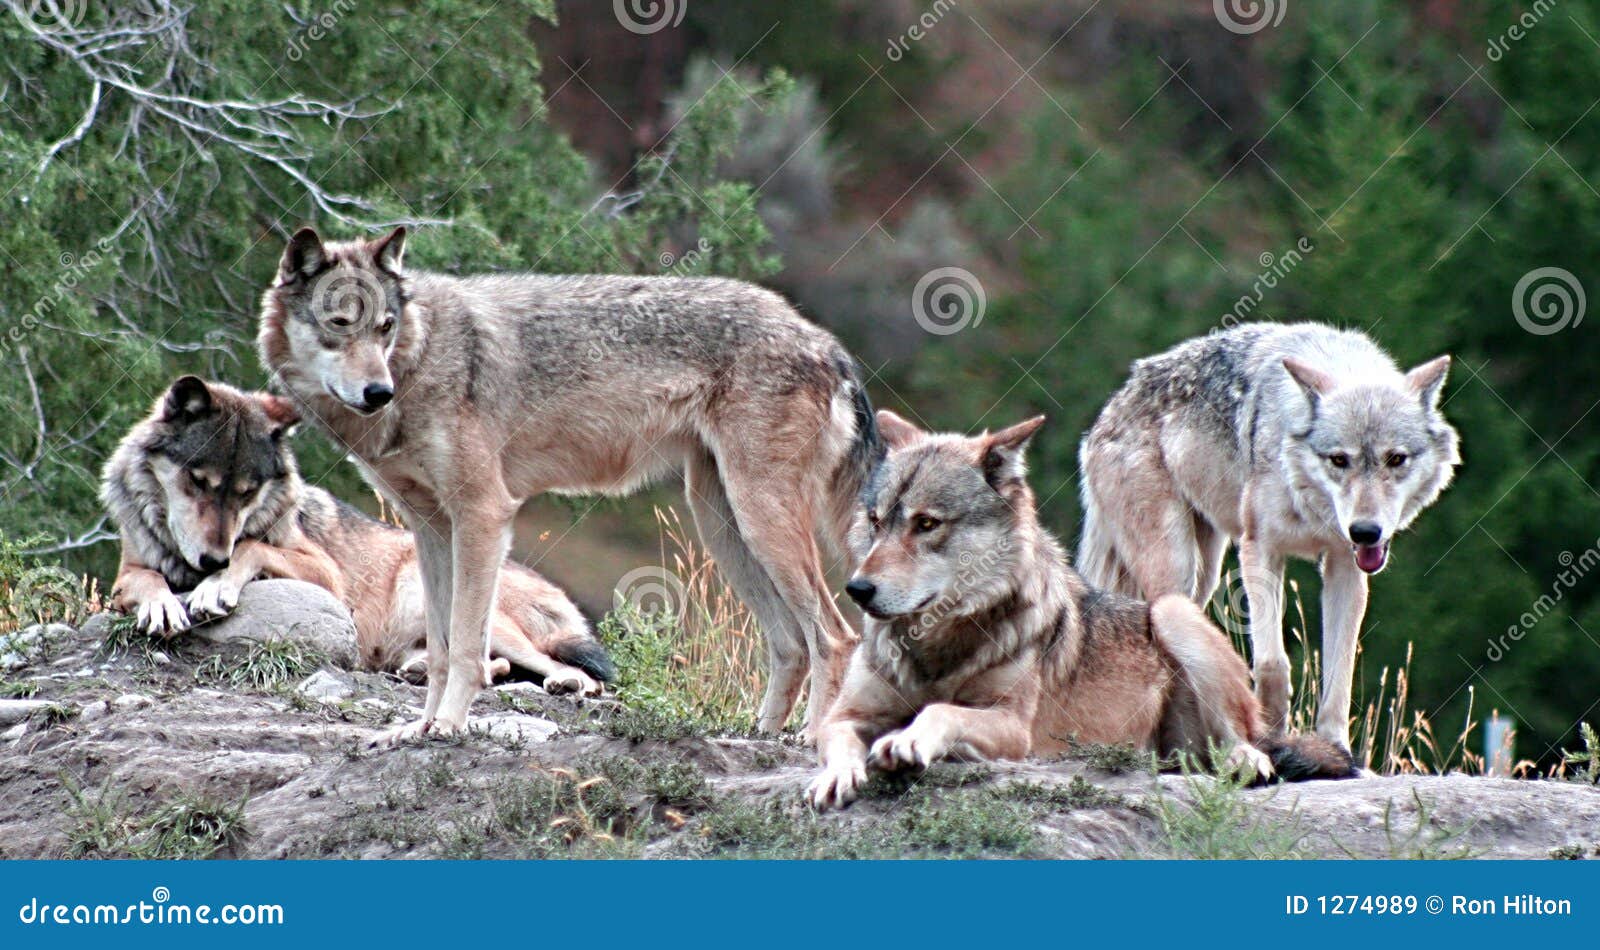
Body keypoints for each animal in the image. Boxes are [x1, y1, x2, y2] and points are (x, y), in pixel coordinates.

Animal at [100, 376, 614, 694]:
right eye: (198, 481)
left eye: (247, 493)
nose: (212, 561)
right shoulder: (126, 574)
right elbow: (148, 581)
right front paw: (163, 605)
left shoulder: (325, 572)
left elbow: (251, 545)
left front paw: (214, 588)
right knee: (485, 666)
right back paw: (419, 670)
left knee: (569, 672)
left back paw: (566, 682)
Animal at [257, 227, 879, 742]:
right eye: (340, 324)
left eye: (384, 328)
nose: (377, 392)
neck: (422, 356)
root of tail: (825, 341)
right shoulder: (430, 528)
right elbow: (438, 650)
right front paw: (419, 728)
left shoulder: (483, 514)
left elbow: (466, 648)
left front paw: (450, 726)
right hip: (722, 524)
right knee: (791, 642)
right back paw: (762, 733)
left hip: (759, 520)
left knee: (836, 637)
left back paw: (811, 739)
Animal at [807, 410, 1355, 810]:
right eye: (876, 522)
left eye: (925, 524)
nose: (858, 589)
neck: (936, 649)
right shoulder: (846, 714)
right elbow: (835, 739)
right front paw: (836, 776)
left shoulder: (1013, 728)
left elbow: (940, 710)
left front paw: (907, 742)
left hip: (1173, 611)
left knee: (1248, 740)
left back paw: (1246, 762)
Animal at [1077, 323, 1459, 749]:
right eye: (1339, 460)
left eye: (1396, 459)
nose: (1364, 531)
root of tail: (1109, 411)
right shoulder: (1260, 549)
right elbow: (1272, 663)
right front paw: (1270, 733)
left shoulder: (1344, 565)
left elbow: (1340, 673)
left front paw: (1336, 748)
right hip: (1177, 567)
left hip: (1204, 575)